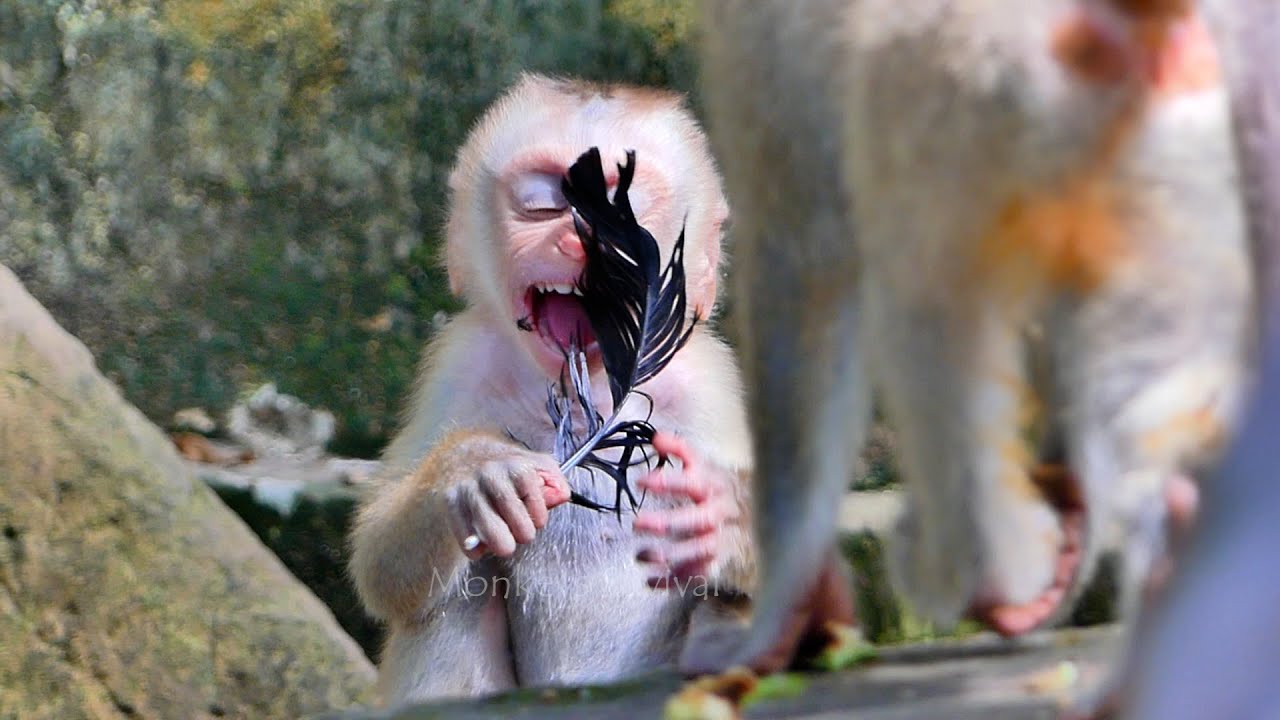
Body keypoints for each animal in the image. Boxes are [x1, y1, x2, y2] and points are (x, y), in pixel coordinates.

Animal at [346, 74, 755, 705]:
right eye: (543, 204)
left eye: (624, 202)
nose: (577, 241)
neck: (590, 401)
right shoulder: (460, 362)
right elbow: (380, 562)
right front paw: (475, 475)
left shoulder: (710, 386)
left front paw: (723, 518)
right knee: (453, 596)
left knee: (730, 604)